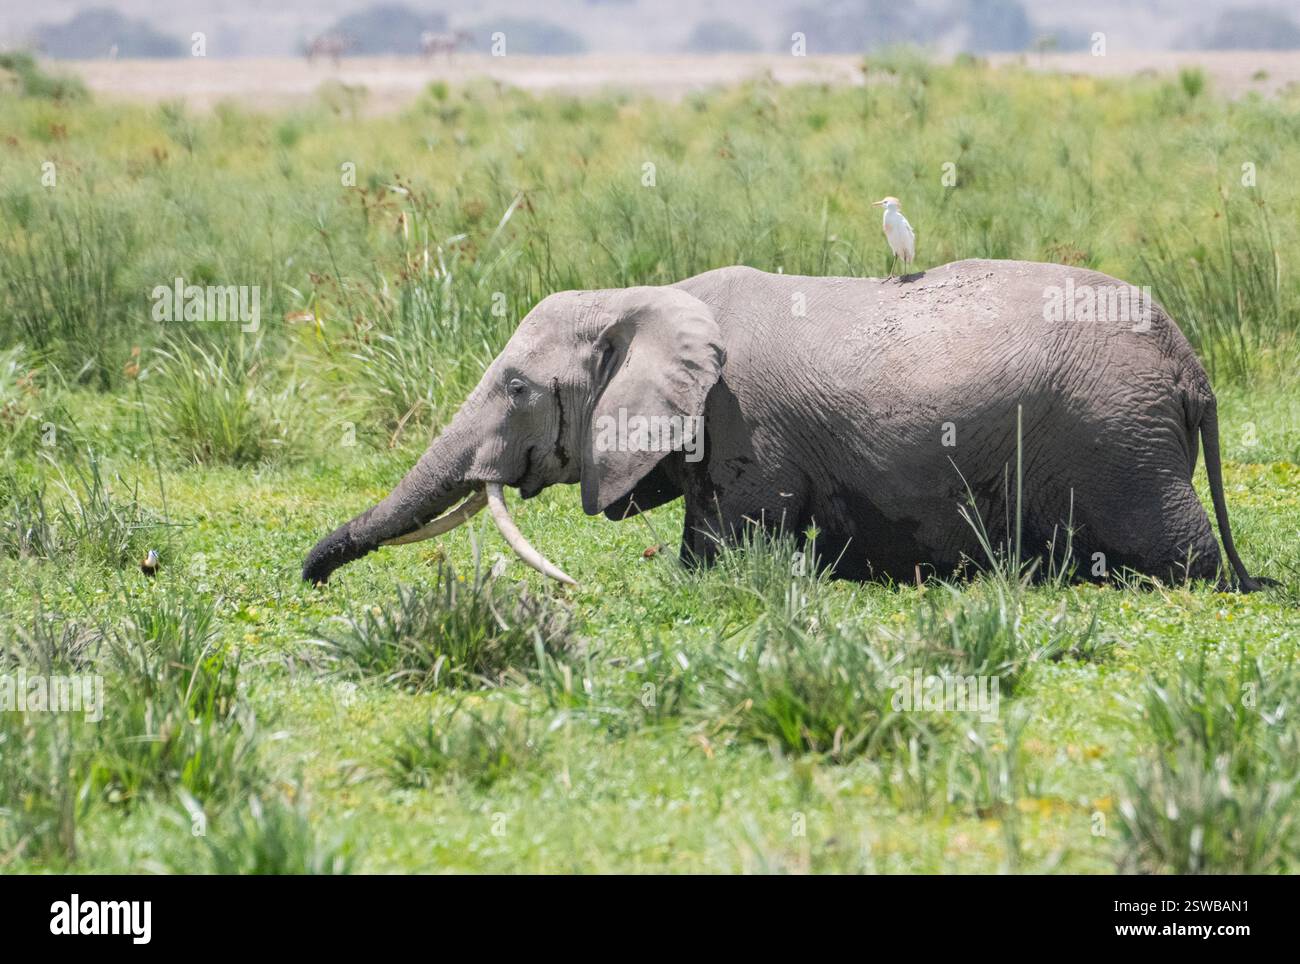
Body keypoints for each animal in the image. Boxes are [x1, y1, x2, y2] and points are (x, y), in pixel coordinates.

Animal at [302, 259, 1267, 592]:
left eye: (513, 387)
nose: (310, 577)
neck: (644, 297)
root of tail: (1192, 368)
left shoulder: (745, 426)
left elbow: (732, 539)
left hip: (1117, 441)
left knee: (1177, 551)